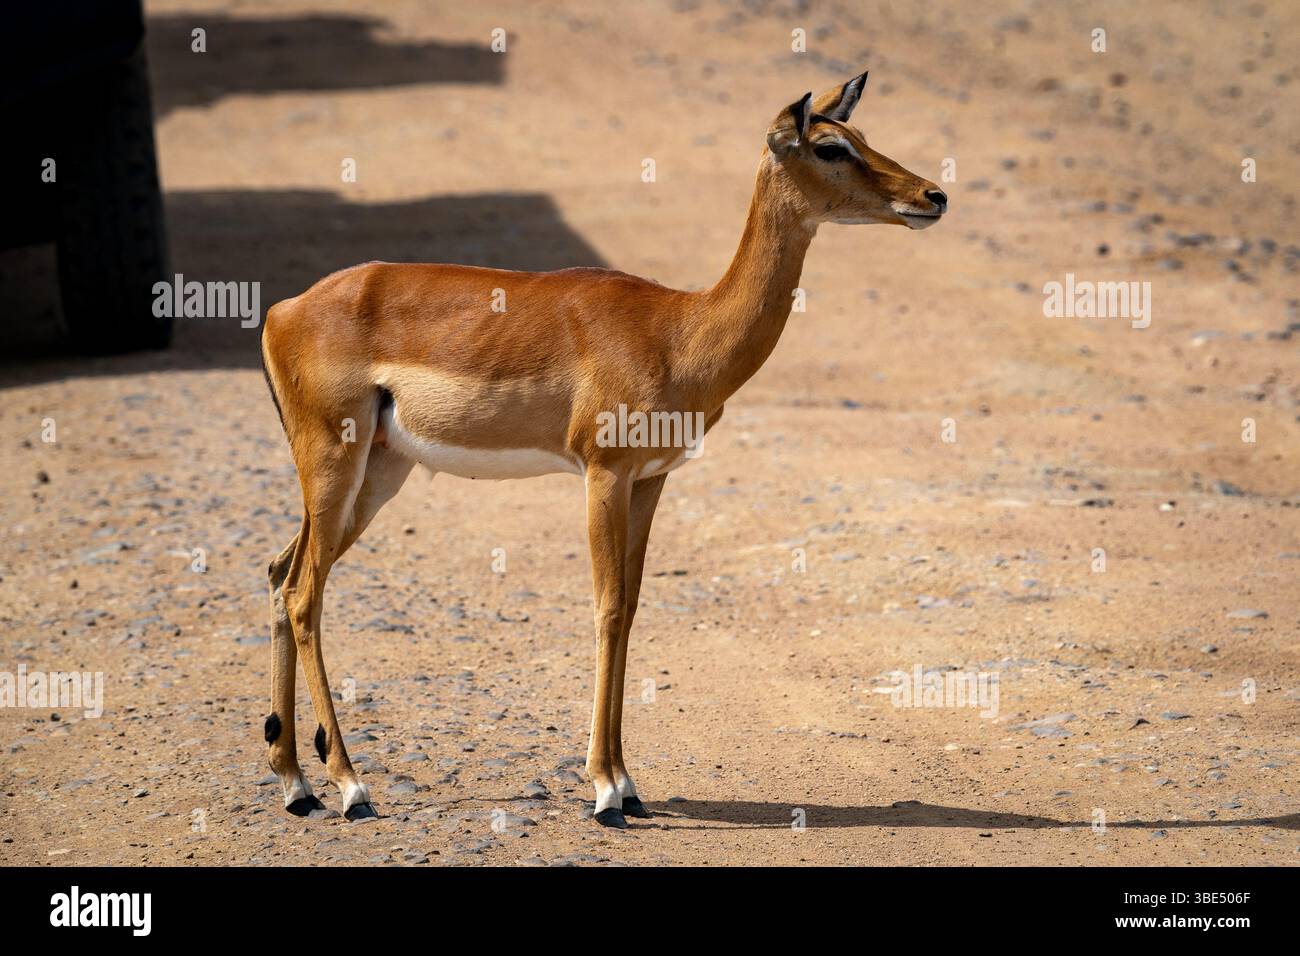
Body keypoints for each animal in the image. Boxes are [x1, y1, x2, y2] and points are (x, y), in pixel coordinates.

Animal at [259, 71, 946, 827]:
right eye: (829, 147)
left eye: (859, 134)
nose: (932, 196)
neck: (681, 330)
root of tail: (282, 311)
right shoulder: (603, 474)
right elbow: (609, 607)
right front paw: (605, 790)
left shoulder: (650, 480)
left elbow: (634, 608)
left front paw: (630, 783)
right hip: (334, 462)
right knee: (303, 595)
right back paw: (350, 788)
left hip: (379, 473)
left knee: (280, 573)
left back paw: (296, 784)